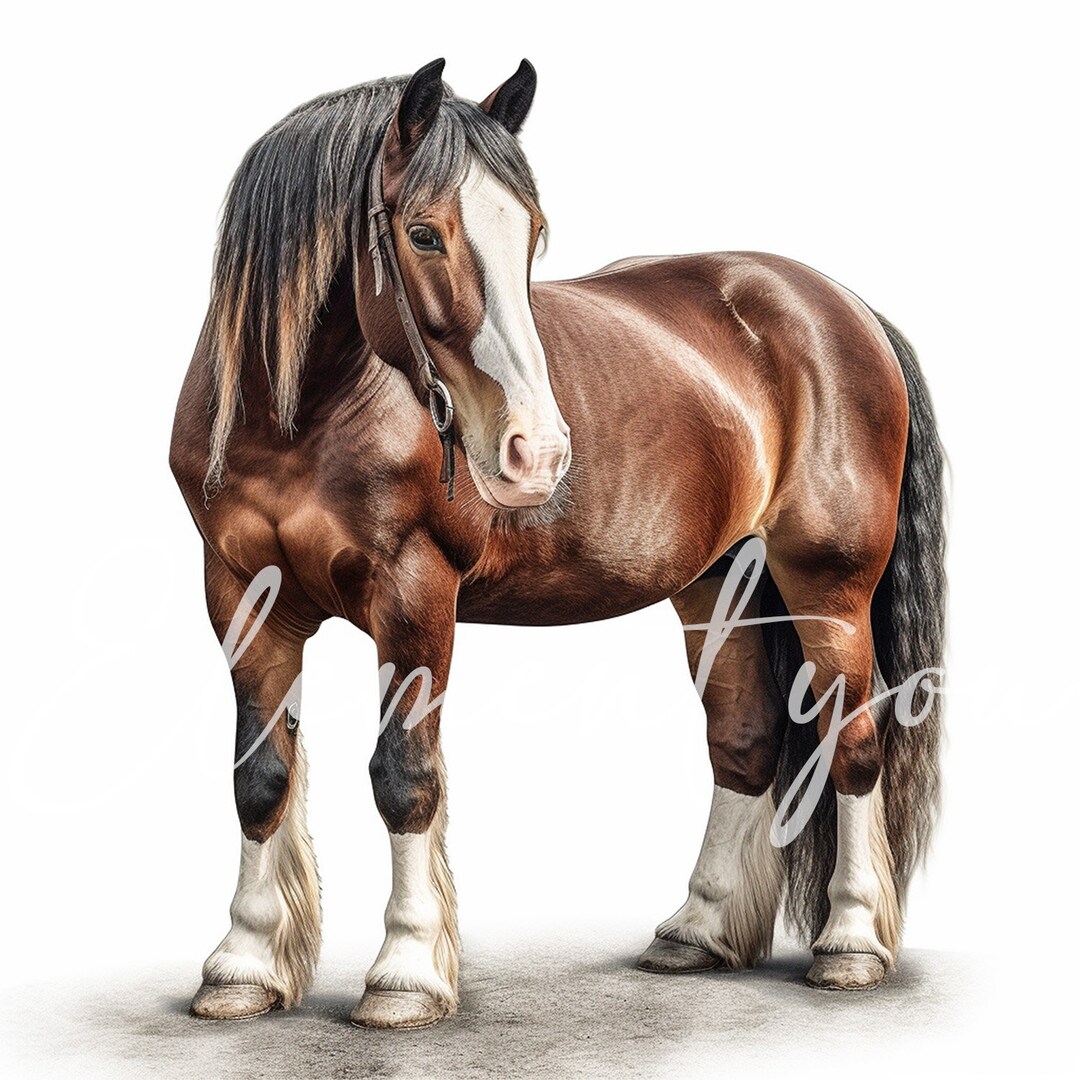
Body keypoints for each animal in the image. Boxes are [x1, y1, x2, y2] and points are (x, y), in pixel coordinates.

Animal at [170, 58, 945, 1029]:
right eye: (421, 233)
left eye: (532, 234)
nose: (535, 452)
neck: (299, 418)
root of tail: (842, 308)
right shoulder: (242, 598)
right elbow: (260, 779)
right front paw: (242, 965)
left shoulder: (414, 597)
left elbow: (404, 779)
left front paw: (405, 973)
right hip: (718, 585)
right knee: (745, 739)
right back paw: (697, 931)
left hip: (828, 585)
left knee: (854, 739)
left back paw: (850, 942)